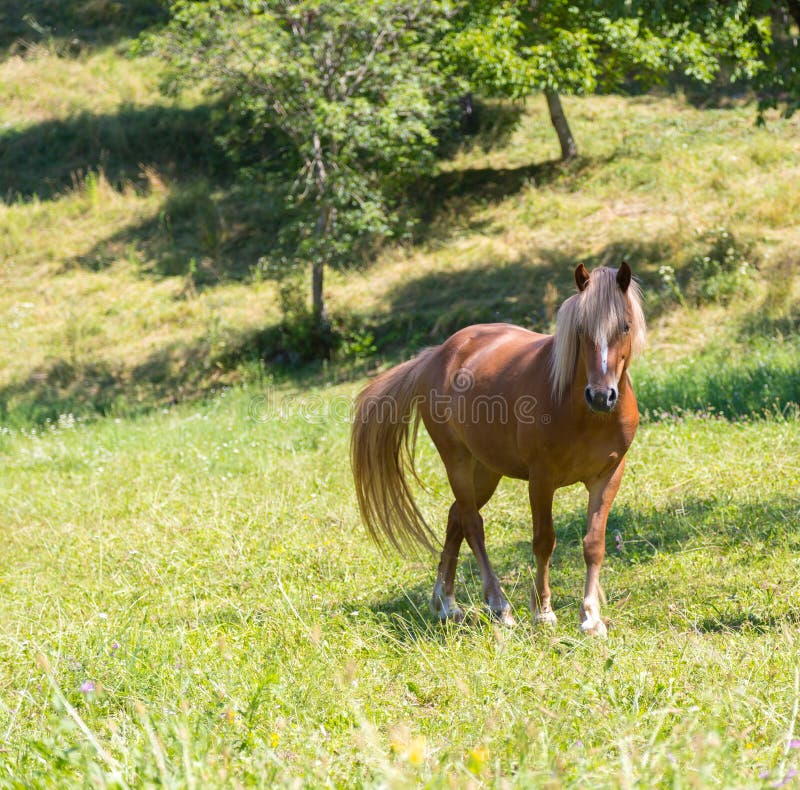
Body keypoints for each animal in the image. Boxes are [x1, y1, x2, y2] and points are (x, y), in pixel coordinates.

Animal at [350, 263, 646, 637]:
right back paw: (498, 605)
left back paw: (446, 604)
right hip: (457, 460)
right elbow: (544, 541)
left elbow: (594, 543)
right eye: (581, 329)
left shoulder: (607, 476)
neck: (582, 412)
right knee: (472, 524)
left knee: (456, 518)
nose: (601, 395)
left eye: (625, 326)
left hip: (487, 470)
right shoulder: (541, 479)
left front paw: (590, 617)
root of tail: (436, 355)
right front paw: (543, 612)